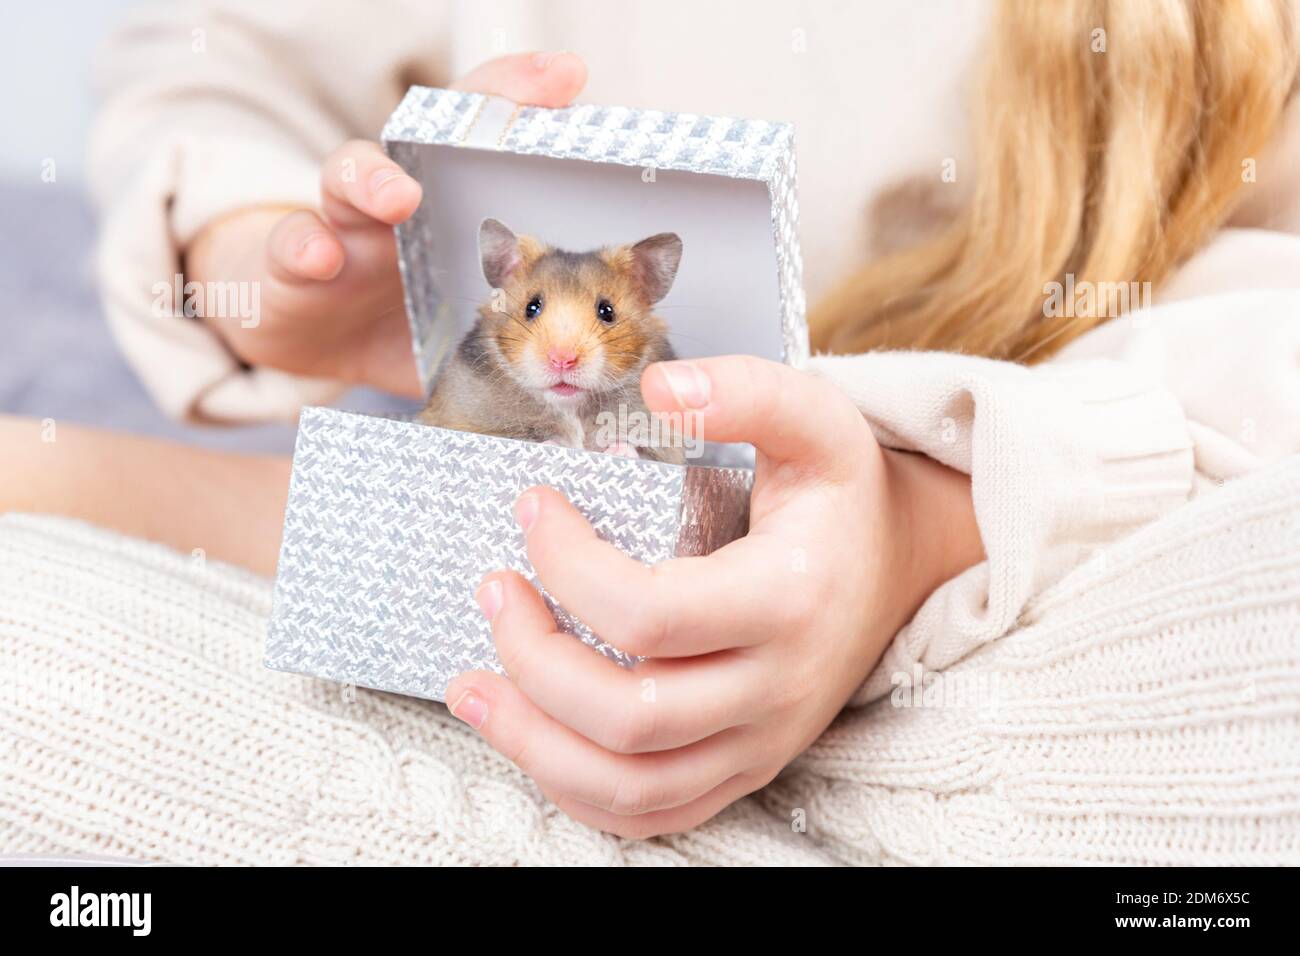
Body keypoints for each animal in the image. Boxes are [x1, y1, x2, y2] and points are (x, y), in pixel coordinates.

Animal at [418, 218, 686, 465]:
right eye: (531, 307)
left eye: (607, 311)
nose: (562, 360)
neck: (570, 406)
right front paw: (553, 444)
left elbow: (639, 449)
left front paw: (618, 451)